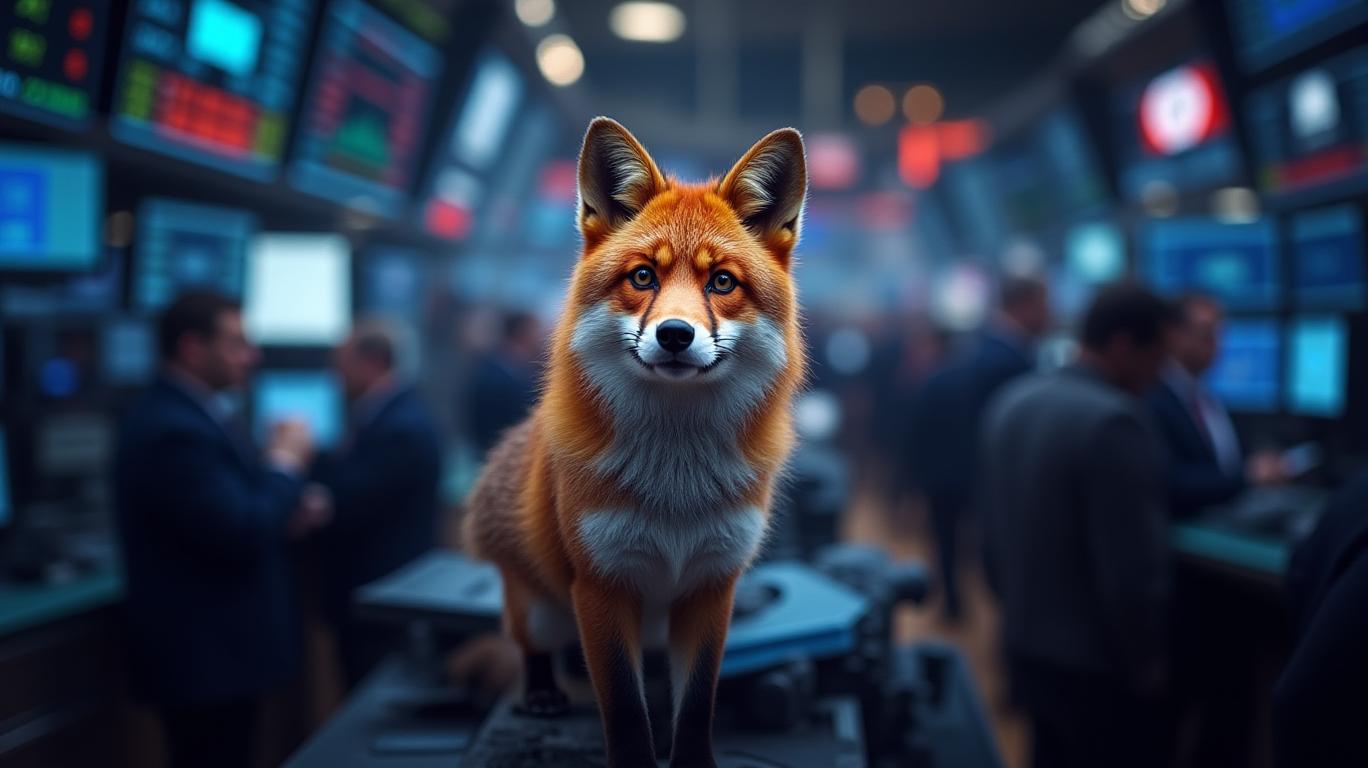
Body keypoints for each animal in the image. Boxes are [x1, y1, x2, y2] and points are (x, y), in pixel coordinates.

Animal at [462, 117, 807, 768]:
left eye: (722, 282)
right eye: (643, 276)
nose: (674, 334)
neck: (675, 483)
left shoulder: (711, 586)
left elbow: (696, 704)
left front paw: (690, 754)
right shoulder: (600, 585)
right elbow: (623, 709)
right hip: (542, 612)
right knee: (536, 648)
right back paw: (542, 692)